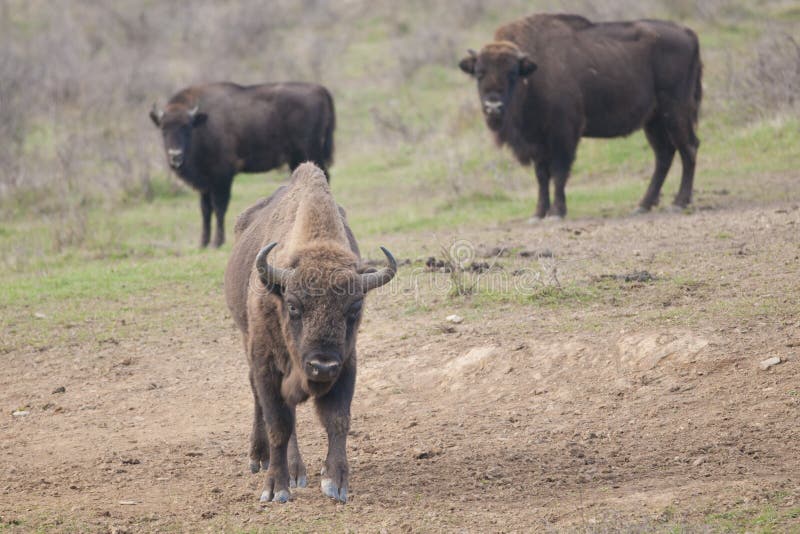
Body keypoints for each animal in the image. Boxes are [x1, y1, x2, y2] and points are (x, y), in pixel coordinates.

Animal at [150, 82, 335, 248]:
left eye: (186, 127)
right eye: (163, 128)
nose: (175, 155)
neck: (202, 124)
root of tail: (320, 89)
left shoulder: (222, 178)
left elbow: (219, 208)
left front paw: (217, 242)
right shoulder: (205, 184)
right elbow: (205, 210)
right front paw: (203, 243)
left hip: (309, 151)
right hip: (296, 158)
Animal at [224, 162, 397, 503]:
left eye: (355, 308)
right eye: (292, 305)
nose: (322, 365)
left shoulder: (346, 364)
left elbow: (338, 420)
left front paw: (336, 483)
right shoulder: (267, 365)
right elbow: (278, 424)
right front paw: (276, 489)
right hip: (248, 342)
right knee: (265, 403)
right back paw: (262, 459)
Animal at [459, 14, 702, 220]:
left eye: (512, 73)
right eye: (479, 74)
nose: (493, 106)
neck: (532, 75)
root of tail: (688, 33)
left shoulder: (563, 134)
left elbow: (558, 173)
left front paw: (556, 213)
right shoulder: (537, 142)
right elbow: (541, 176)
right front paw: (538, 214)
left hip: (675, 112)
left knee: (687, 148)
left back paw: (679, 203)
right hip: (653, 121)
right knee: (664, 155)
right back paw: (642, 205)